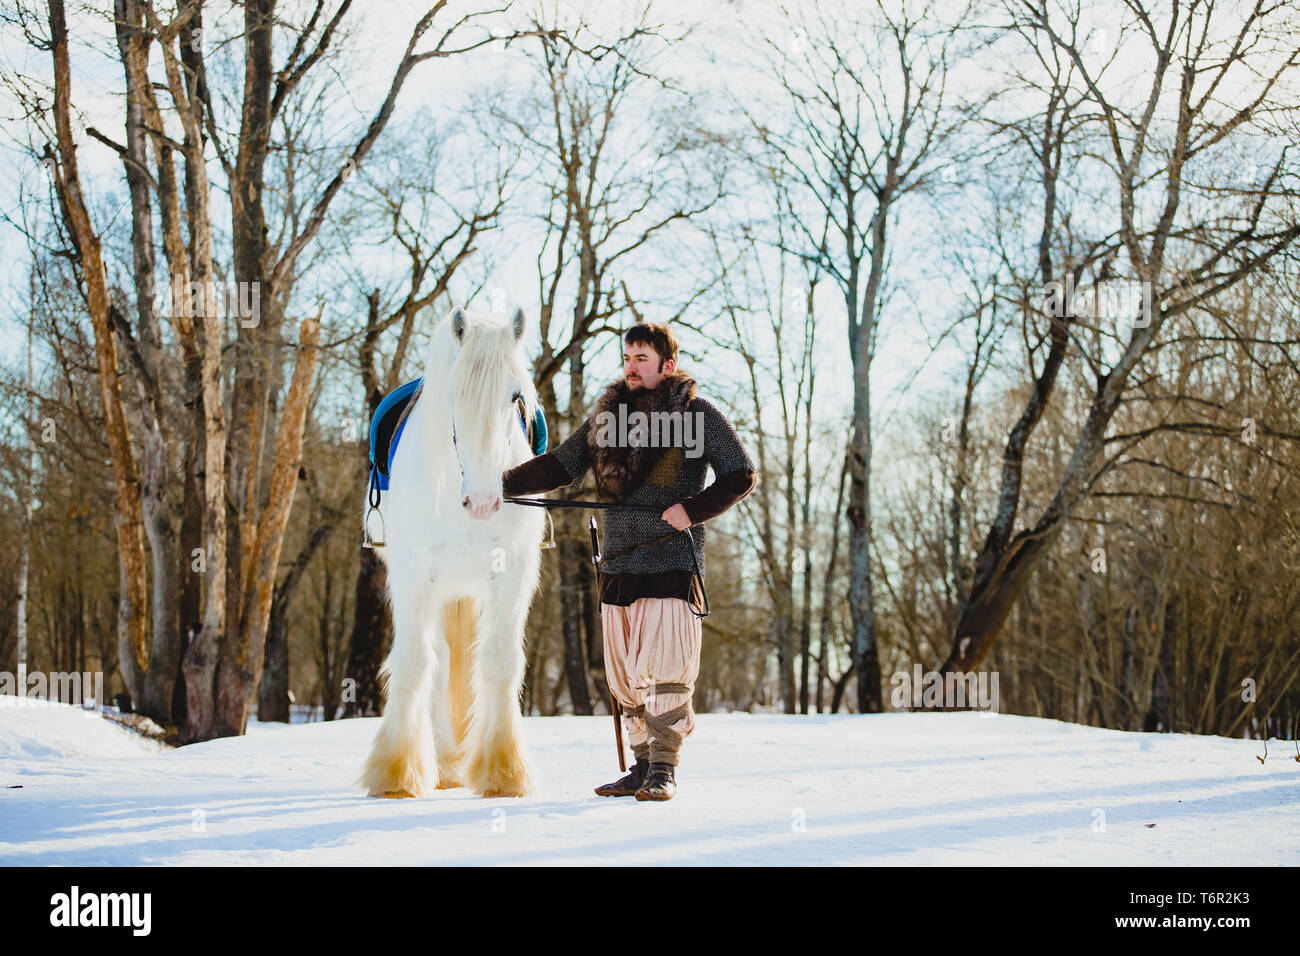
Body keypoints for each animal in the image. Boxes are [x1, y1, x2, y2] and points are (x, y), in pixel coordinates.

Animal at [359, 306, 546, 798]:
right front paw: (394, 772)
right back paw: (443, 761)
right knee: (438, 661)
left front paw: (504, 771)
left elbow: (500, 664)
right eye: (455, 392)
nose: (482, 501)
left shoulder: (511, 574)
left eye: (515, 395)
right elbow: (414, 665)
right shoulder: (412, 578)